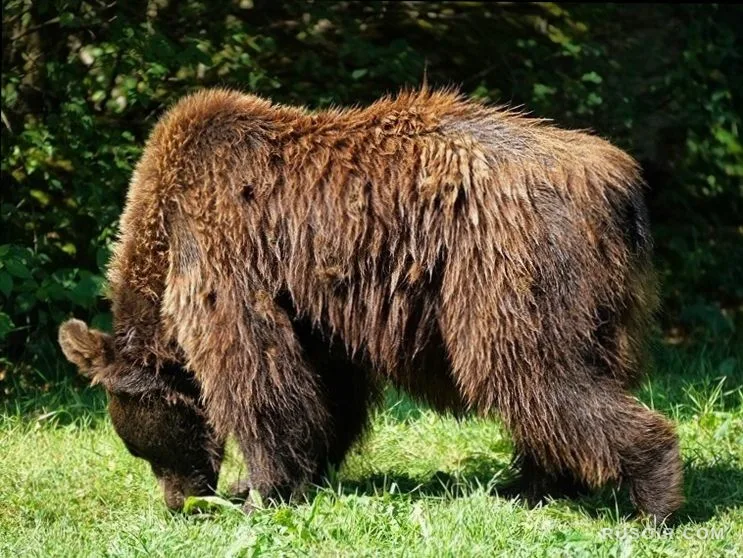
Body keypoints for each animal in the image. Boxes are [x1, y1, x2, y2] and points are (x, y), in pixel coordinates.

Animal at [58, 86, 683, 522]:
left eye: (142, 451)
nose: (179, 503)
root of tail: (617, 183)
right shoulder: (312, 305)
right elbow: (324, 389)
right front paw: (296, 474)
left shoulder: (222, 251)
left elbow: (252, 371)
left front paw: (258, 490)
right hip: (608, 302)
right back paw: (533, 484)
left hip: (507, 265)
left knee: (530, 371)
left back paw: (654, 493)